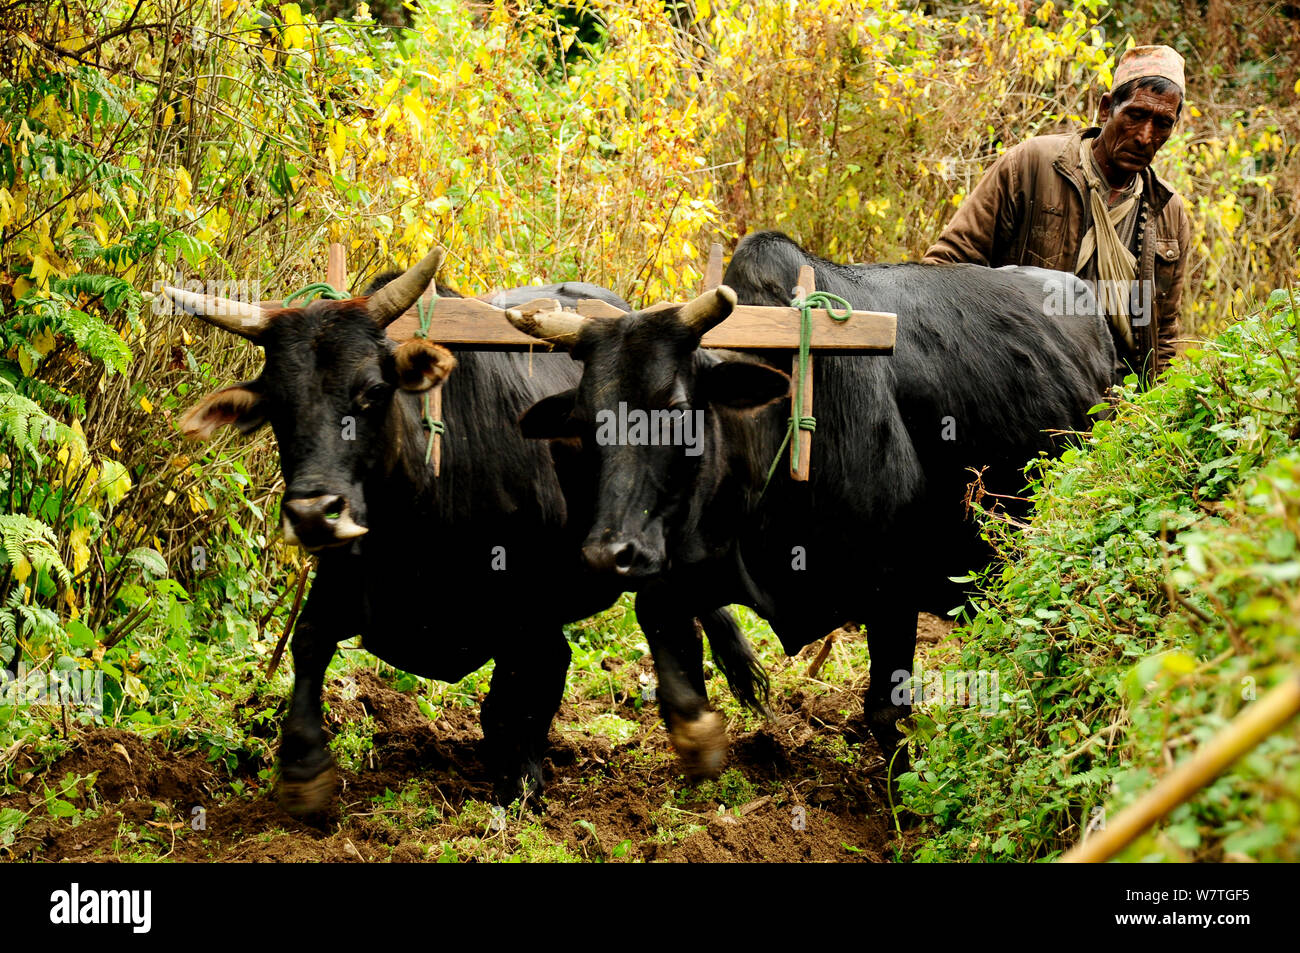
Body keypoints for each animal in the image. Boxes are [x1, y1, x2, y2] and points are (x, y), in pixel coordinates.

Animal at [163, 251, 765, 811]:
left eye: (372, 390)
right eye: (278, 406)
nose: (314, 512)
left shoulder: (528, 606)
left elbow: (534, 680)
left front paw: (521, 783)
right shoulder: (347, 577)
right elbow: (309, 640)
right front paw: (303, 770)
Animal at [510, 230, 1116, 786]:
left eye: (679, 408)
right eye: (582, 419)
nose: (608, 552)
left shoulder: (893, 589)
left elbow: (886, 711)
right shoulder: (705, 561)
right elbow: (656, 610)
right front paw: (699, 737)